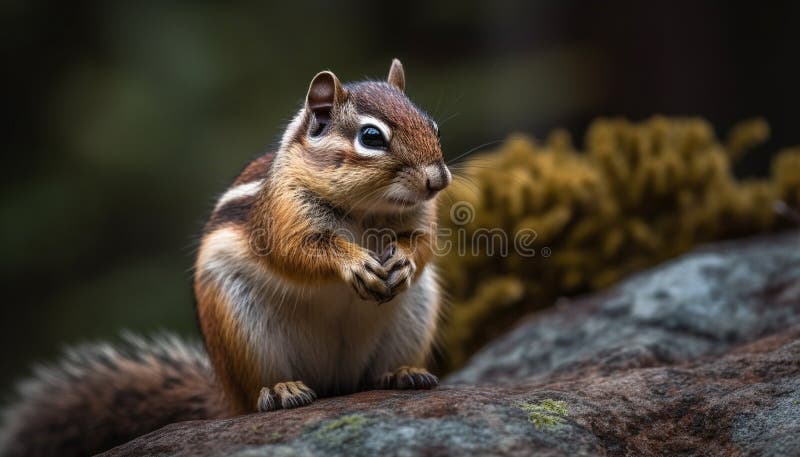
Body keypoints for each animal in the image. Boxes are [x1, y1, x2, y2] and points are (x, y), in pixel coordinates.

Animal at [0, 59, 451, 457]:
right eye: (371, 137)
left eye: (432, 125)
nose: (438, 180)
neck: (365, 211)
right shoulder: (282, 216)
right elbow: (300, 251)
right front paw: (353, 262)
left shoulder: (419, 220)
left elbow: (423, 242)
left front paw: (404, 261)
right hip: (241, 326)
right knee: (257, 396)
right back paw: (281, 390)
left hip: (414, 314)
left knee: (375, 374)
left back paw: (403, 373)